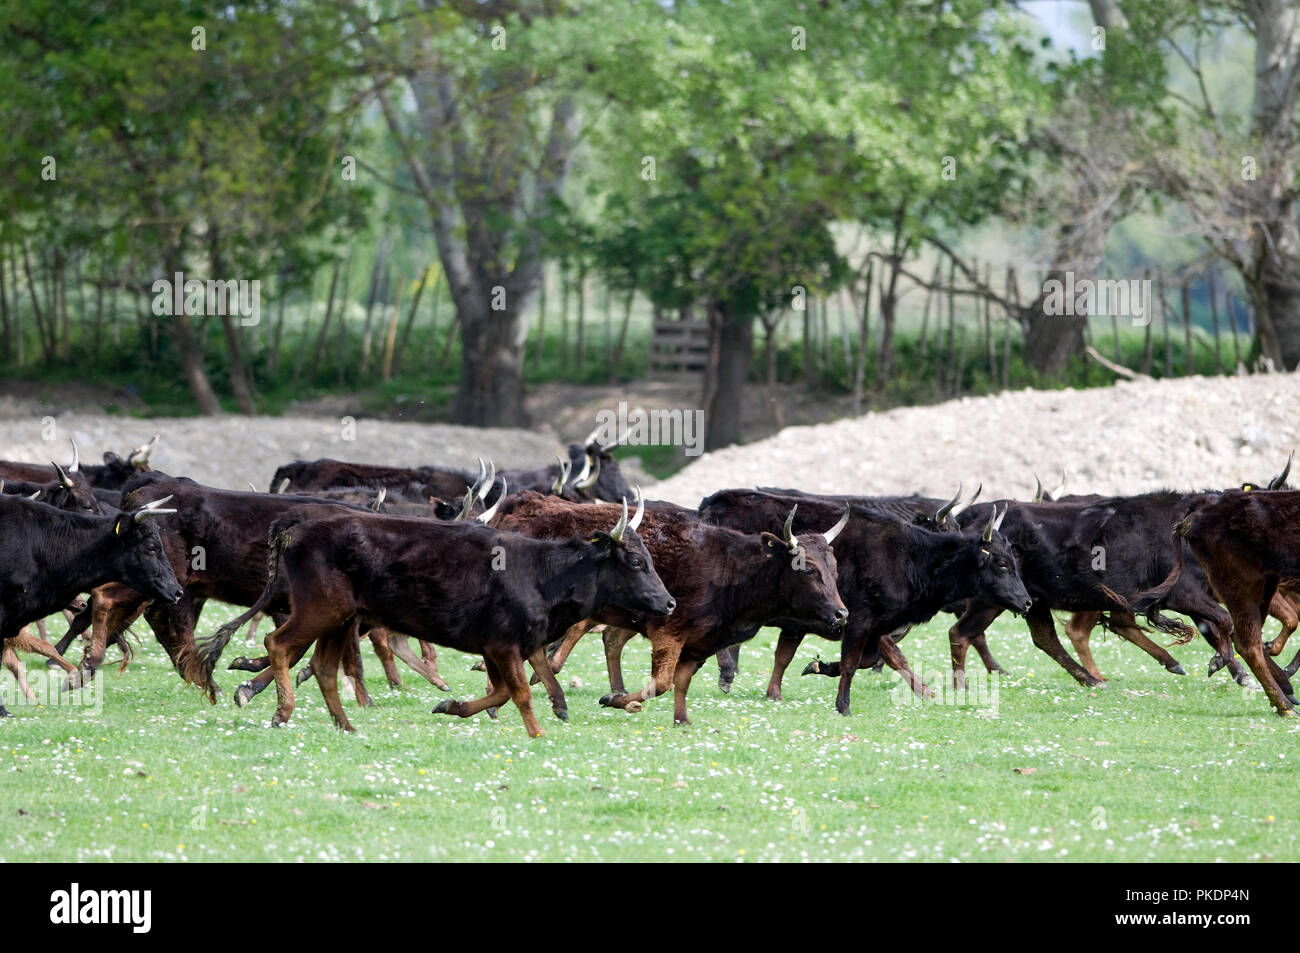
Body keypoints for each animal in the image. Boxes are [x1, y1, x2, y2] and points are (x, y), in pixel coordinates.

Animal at [203, 496, 675, 736]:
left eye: (652, 559)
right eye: (636, 562)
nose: (669, 603)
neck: (541, 572)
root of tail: (298, 522)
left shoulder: (500, 647)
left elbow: (502, 693)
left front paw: (452, 705)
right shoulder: (503, 644)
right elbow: (519, 692)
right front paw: (537, 733)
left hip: (340, 620)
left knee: (322, 667)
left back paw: (346, 724)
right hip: (321, 610)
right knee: (279, 644)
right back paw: (281, 710)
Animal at [699, 488, 1031, 714]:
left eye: (1014, 560)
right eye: (1002, 564)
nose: (1026, 602)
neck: (909, 556)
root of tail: (711, 505)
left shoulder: (875, 626)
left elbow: (869, 659)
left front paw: (816, 667)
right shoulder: (860, 620)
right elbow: (862, 660)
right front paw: (843, 703)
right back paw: (726, 674)